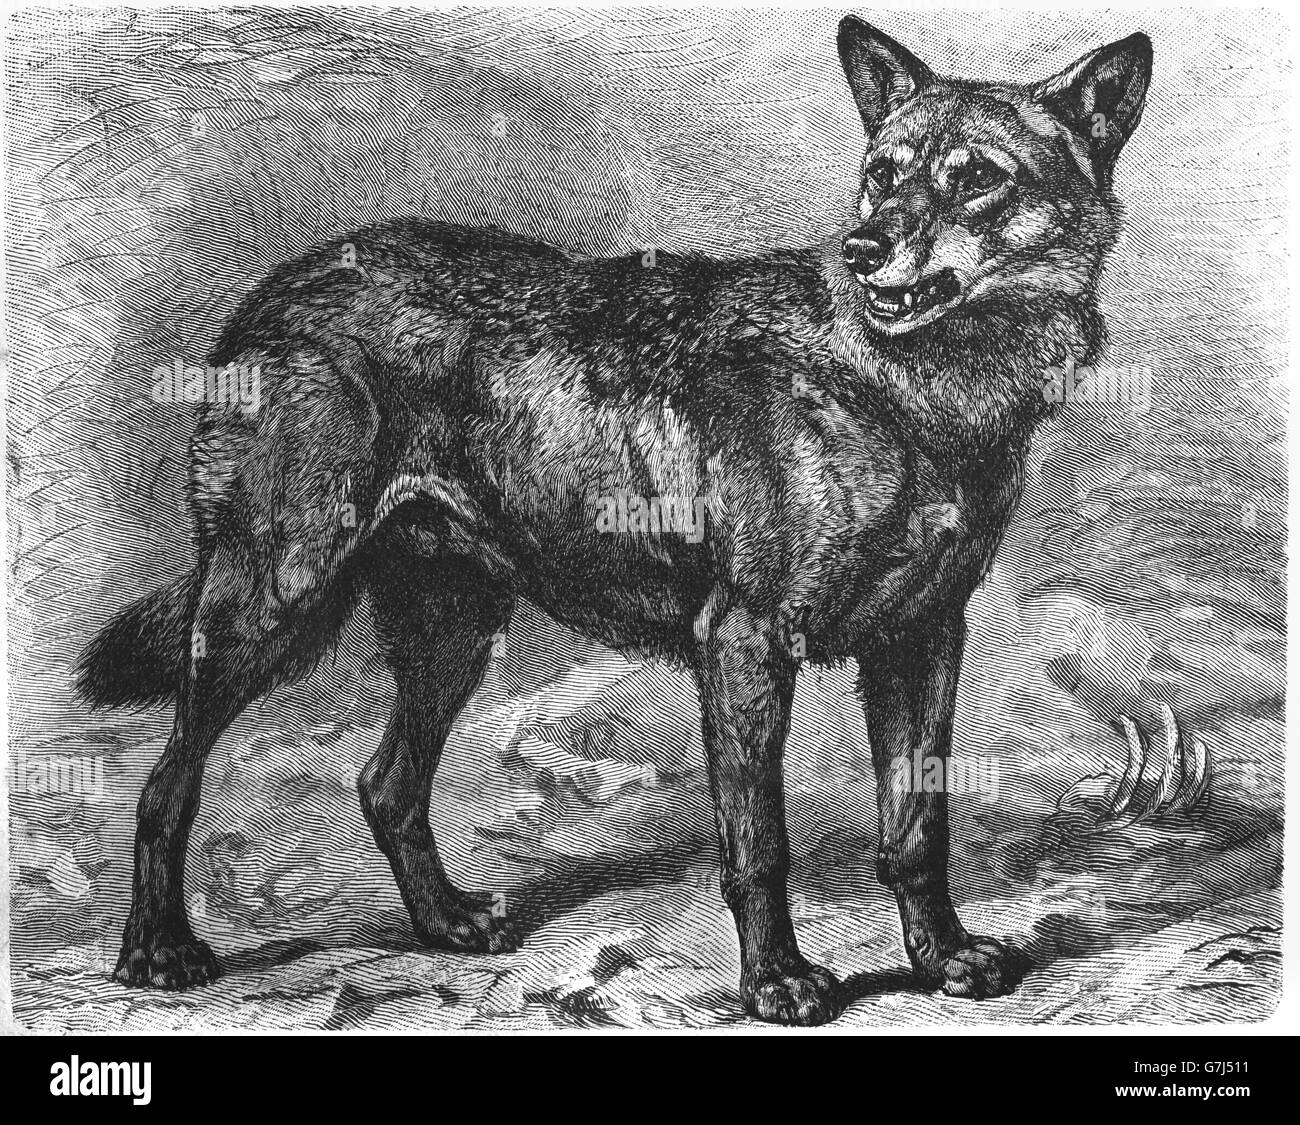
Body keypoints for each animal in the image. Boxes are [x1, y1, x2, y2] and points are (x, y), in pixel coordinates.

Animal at [77, 16, 1158, 1025]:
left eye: (975, 180)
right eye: (881, 176)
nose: (865, 248)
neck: (904, 384)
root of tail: (277, 289)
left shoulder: (921, 640)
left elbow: (916, 828)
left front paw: (941, 956)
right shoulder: (745, 644)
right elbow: (758, 844)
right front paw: (776, 981)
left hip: (450, 629)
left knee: (386, 783)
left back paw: (446, 922)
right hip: (273, 602)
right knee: (166, 784)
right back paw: (157, 953)